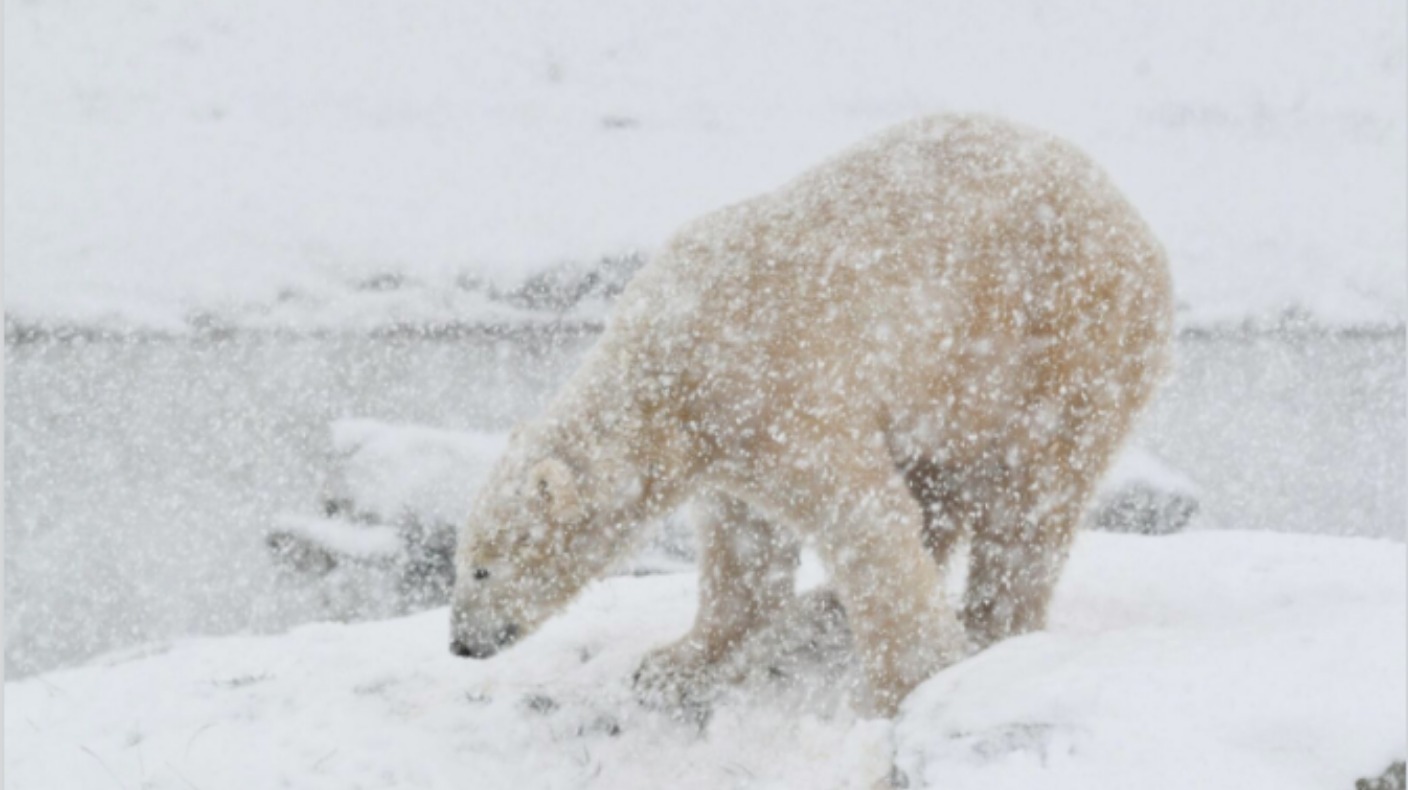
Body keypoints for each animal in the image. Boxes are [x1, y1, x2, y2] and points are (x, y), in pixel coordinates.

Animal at [450, 114, 1173, 717]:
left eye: (482, 567)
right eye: (460, 562)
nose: (460, 642)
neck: (668, 364)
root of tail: (1136, 221)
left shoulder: (777, 384)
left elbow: (862, 516)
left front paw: (910, 683)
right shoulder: (725, 434)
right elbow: (745, 545)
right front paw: (673, 665)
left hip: (1060, 335)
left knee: (1031, 499)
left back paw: (989, 633)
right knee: (937, 488)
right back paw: (827, 608)